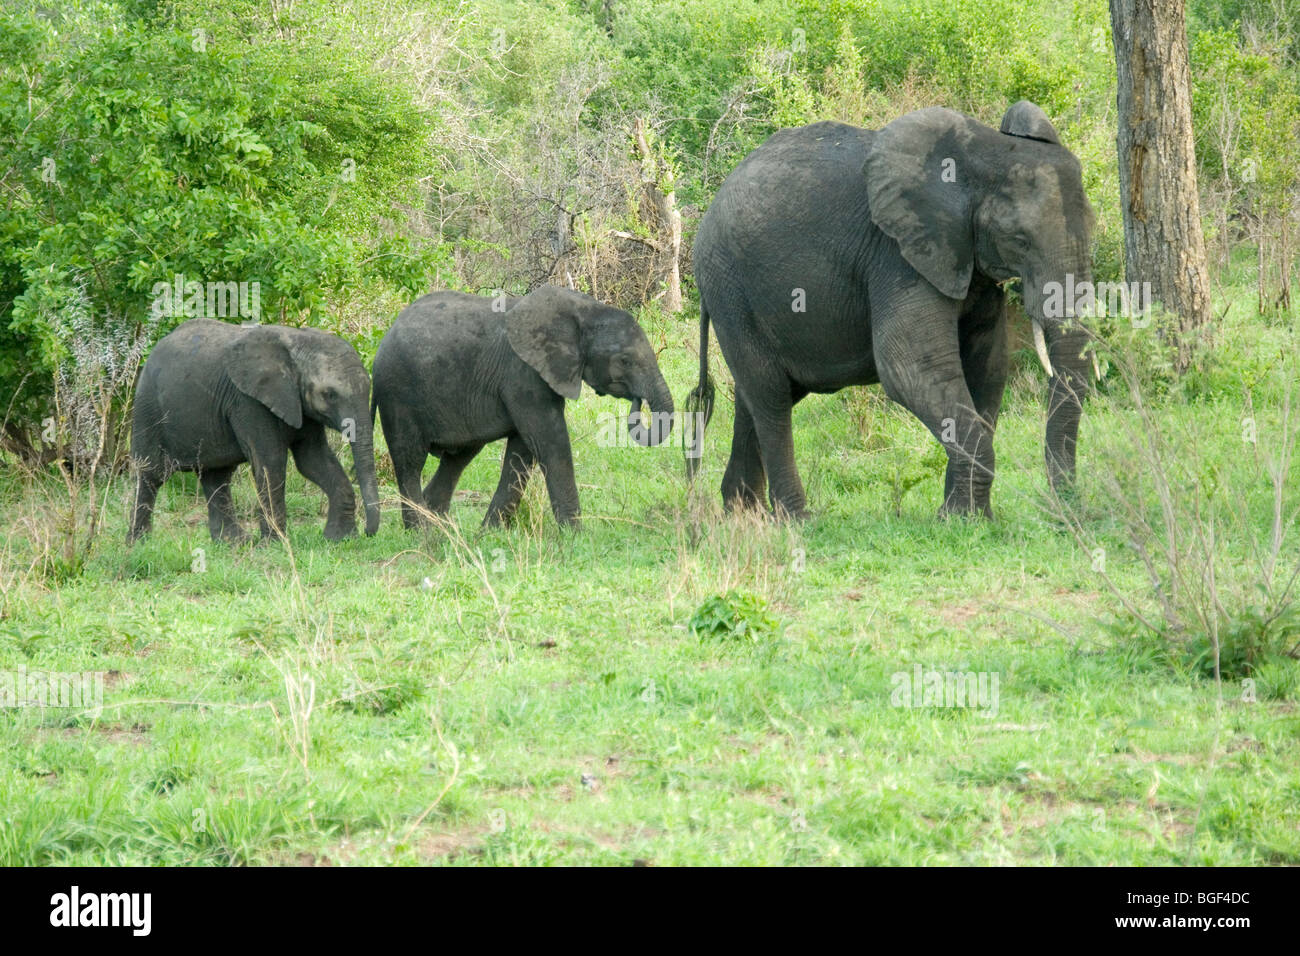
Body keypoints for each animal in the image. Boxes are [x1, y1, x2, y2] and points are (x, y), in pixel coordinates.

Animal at [128, 319, 380, 542]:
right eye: (329, 394)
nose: (369, 533)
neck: (297, 341)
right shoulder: (248, 401)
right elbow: (271, 462)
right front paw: (276, 544)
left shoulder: (299, 405)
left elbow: (313, 459)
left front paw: (339, 539)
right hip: (147, 409)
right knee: (150, 473)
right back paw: (138, 544)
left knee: (217, 477)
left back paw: (233, 543)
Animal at [372, 285, 674, 529]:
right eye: (624, 360)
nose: (638, 402)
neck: (584, 309)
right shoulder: (523, 373)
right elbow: (549, 442)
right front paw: (575, 535)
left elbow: (523, 451)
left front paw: (489, 534)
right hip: (396, 391)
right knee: (409, 461)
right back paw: (420, 532)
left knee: (459, 456)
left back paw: (439, 527)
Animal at [687, 102, 1096, 519]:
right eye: (1019, 239)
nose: (1062, 507)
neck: (982, 153)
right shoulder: (897, 253)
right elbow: (912, 370)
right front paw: (966, 519)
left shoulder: (969, 260)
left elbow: (988, 367)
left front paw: (961, 517)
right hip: (730, 291)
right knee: (770, 398)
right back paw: (797, 520)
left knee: (754, 397)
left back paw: (743, 516)